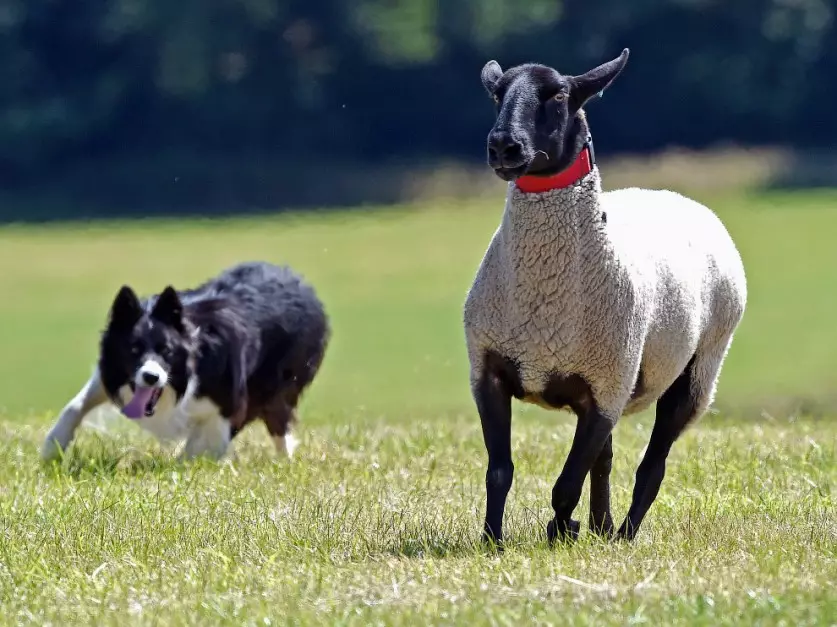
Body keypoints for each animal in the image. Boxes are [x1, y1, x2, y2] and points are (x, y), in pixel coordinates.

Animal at [42, 260, 328, 462]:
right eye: (133, 349)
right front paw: (51, 449)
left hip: (275, 383)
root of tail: (300, 283)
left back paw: (284, 460)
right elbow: (75, 405)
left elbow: (199, 447)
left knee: (279, 418)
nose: (151, 377)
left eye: (167, 351)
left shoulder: (232, 403)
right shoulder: (109, 374)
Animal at [464, 49, 744, 548]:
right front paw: (493, 541)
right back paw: (602, 525)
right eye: (498, 94)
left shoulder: (606, 390)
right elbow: (500, 471)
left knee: (652, 467)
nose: (503, 147)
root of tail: (673, 195)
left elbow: (565, 485)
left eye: (558, 95)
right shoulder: (489, 372)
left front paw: (559, 533)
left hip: (696, 370)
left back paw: (622, 535)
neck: (544, 296)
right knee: (606, 461)